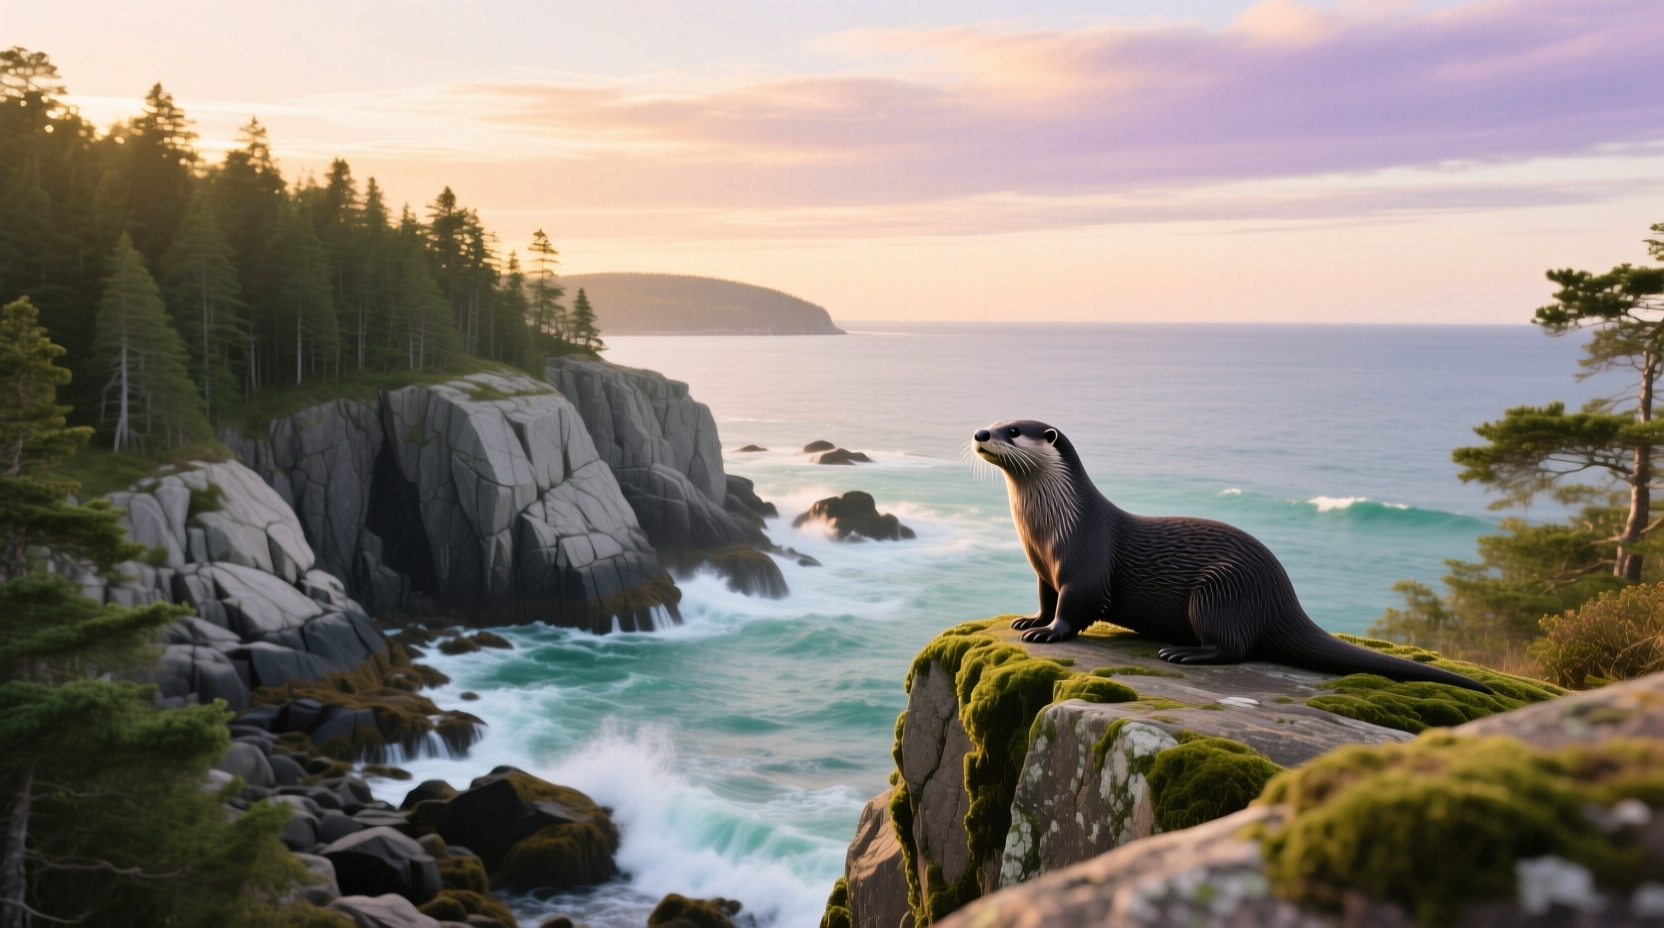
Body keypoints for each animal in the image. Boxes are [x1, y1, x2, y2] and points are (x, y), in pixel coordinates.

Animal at [972, 419, 1493, 694]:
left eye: (1014, 431)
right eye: (996, 422)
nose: (981, 433)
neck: (1051, 527)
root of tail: (1283, 598)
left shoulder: (1084, 560)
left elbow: (1074, 607)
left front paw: (1048, 633)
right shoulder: (1044, 570)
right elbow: (1046, 599)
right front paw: (1030, 621)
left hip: (1221, 589)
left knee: (1235, 647)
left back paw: (1183, 652)